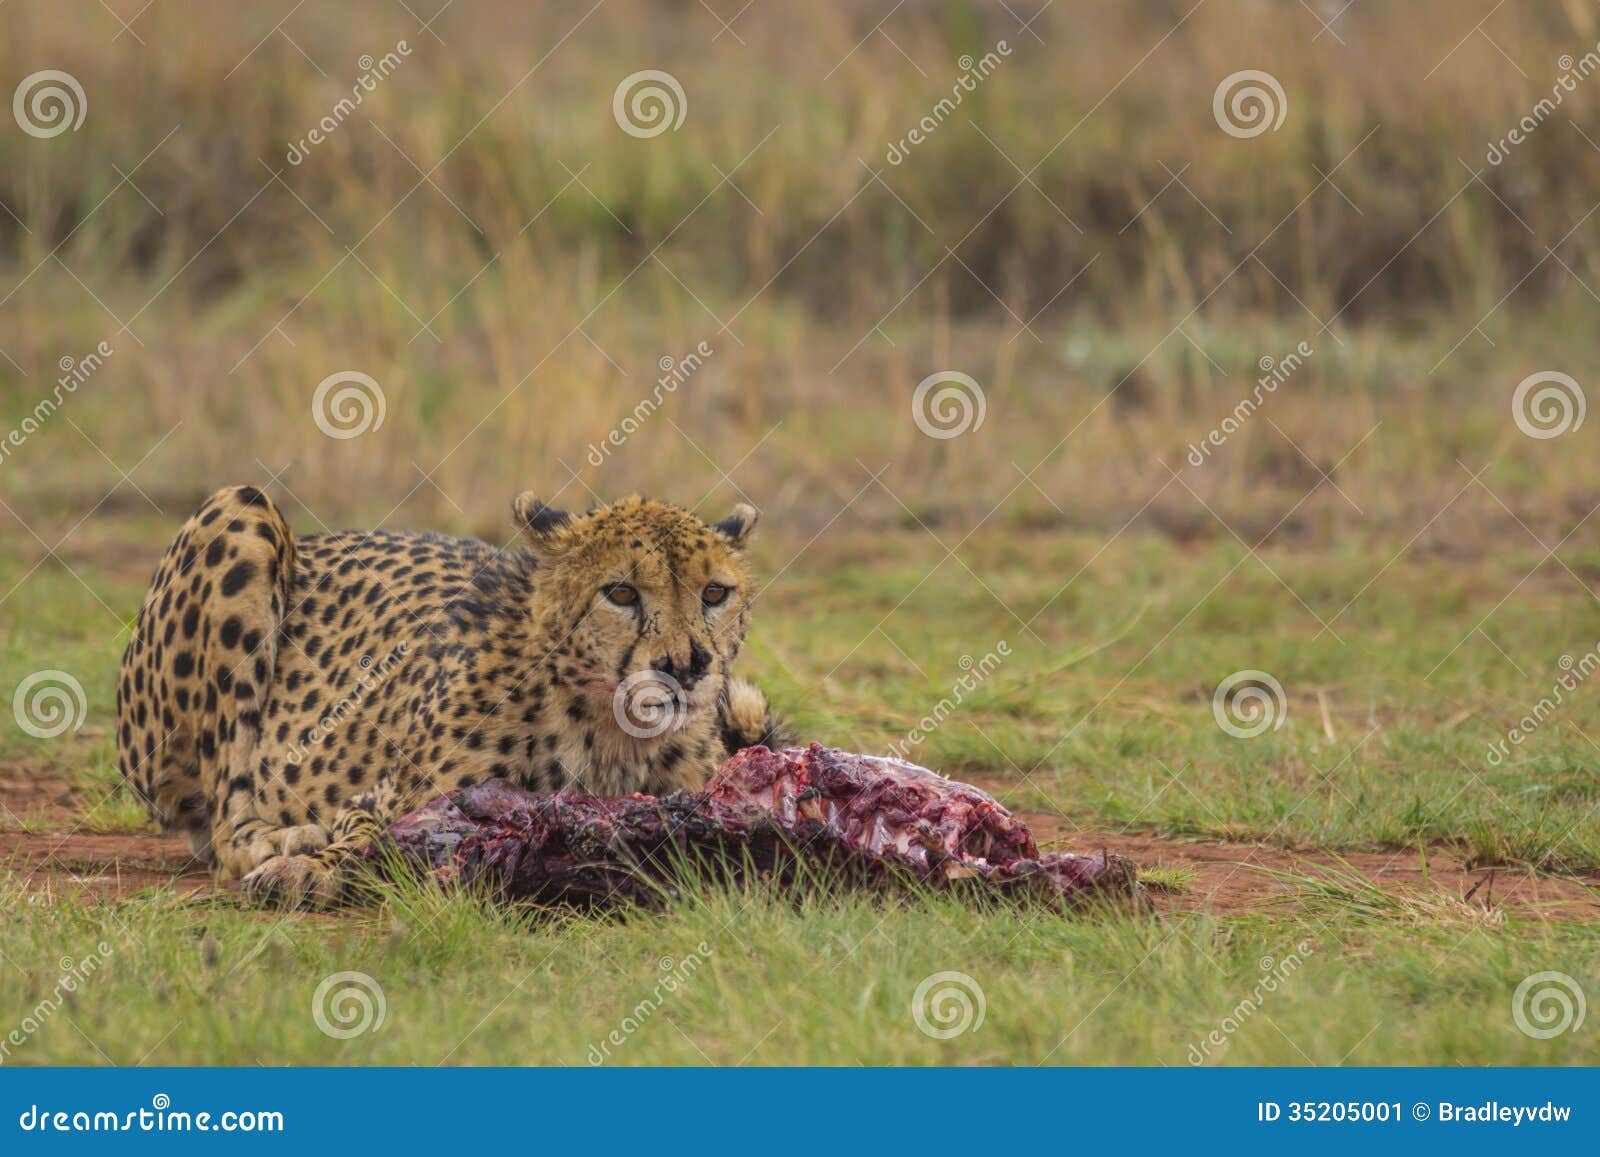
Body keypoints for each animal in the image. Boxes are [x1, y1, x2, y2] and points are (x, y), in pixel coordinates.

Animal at [116, 484, 787, 905]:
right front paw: (308, 867)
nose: (687, 665)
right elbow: (363, 833)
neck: (610, 730)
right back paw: (282, 840)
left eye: (714, 594)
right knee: (225, 818)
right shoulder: (382, 796)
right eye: (620, 593)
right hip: (240, 512)